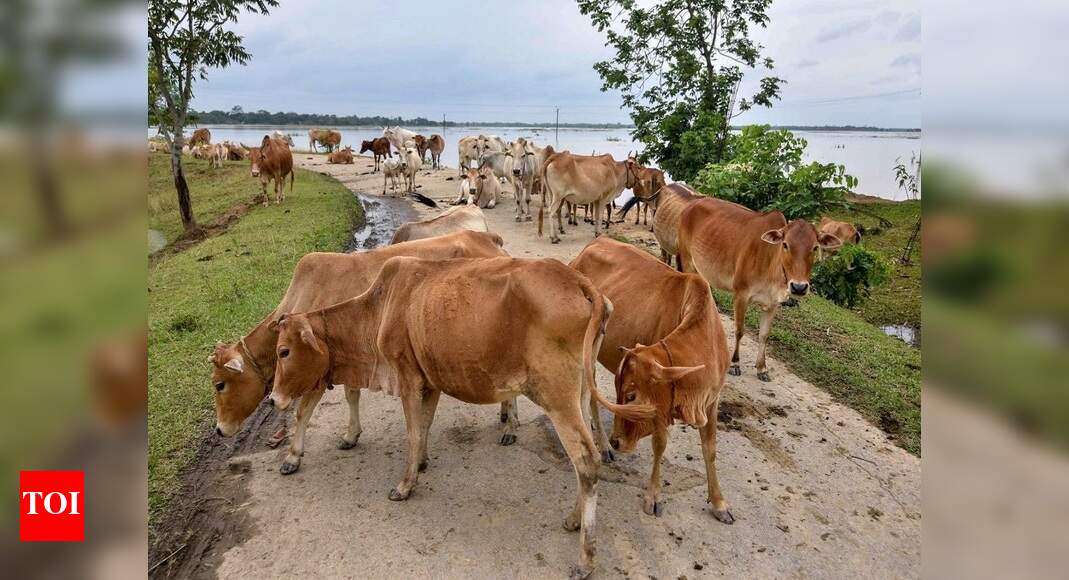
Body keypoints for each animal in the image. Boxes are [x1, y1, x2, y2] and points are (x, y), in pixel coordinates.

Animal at [209, 230, 510, 474]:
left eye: (219, 384)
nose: (220, 430)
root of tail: (487, 238)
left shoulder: (317, 373)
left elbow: (302, 412)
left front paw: (292, 457)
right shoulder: (348, 362)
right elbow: (351, 395)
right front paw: (351, 435)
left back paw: (509, 427)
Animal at [268, 256, 655, 577]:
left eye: (284, 351)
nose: (272, 399)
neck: (378, 309)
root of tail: (580, 282)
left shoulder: (408, 379)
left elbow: (412, 433)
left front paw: (405, 485)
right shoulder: (430, 380)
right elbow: (423, 427)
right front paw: (422, 463)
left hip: (558, 397)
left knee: (587, 462)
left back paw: (586, 558)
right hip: (579, 393)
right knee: (585, 463)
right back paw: (573, 520)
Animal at [570, 237, 734, 523]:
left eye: (631, 396)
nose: (617, 441)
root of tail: (592, 244)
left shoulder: (712, 401)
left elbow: (710, 449)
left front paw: (719, 503)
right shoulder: (659, 411)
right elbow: (660, 445)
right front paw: (653, 497)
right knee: (589, 394)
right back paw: (603, 445)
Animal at [675, 197, 842, 381]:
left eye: (815, 247)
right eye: (785, 245)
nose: (798, 287)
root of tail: (693, 203)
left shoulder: (773, 303)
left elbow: (764, 335)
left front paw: (762, 368)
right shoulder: (741, 295)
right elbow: (739, 330)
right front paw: (735, 364)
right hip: (686, 259)